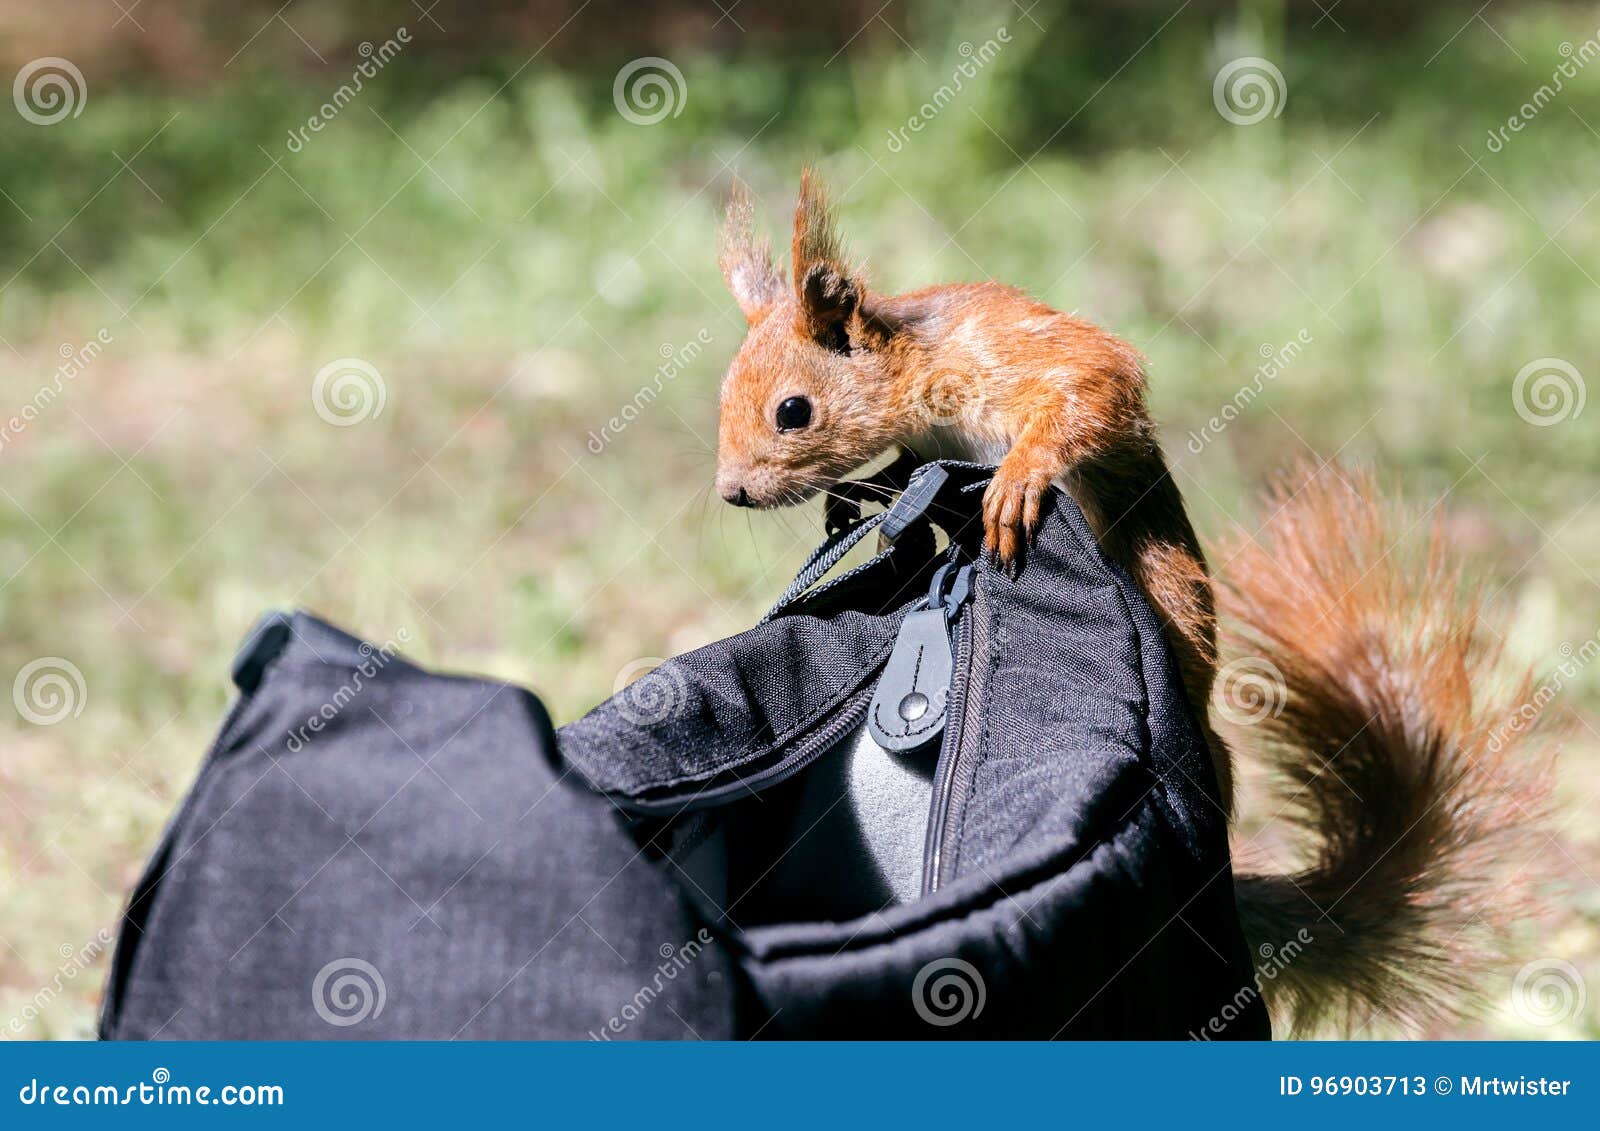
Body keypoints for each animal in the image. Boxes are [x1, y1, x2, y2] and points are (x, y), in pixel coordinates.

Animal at [711, 169, 1554, 1035]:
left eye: (793, 410)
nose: (731, 491)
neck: (922, 368)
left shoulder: (1017, 349)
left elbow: (1092, 387)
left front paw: (1019, 475)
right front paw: (863, 493)